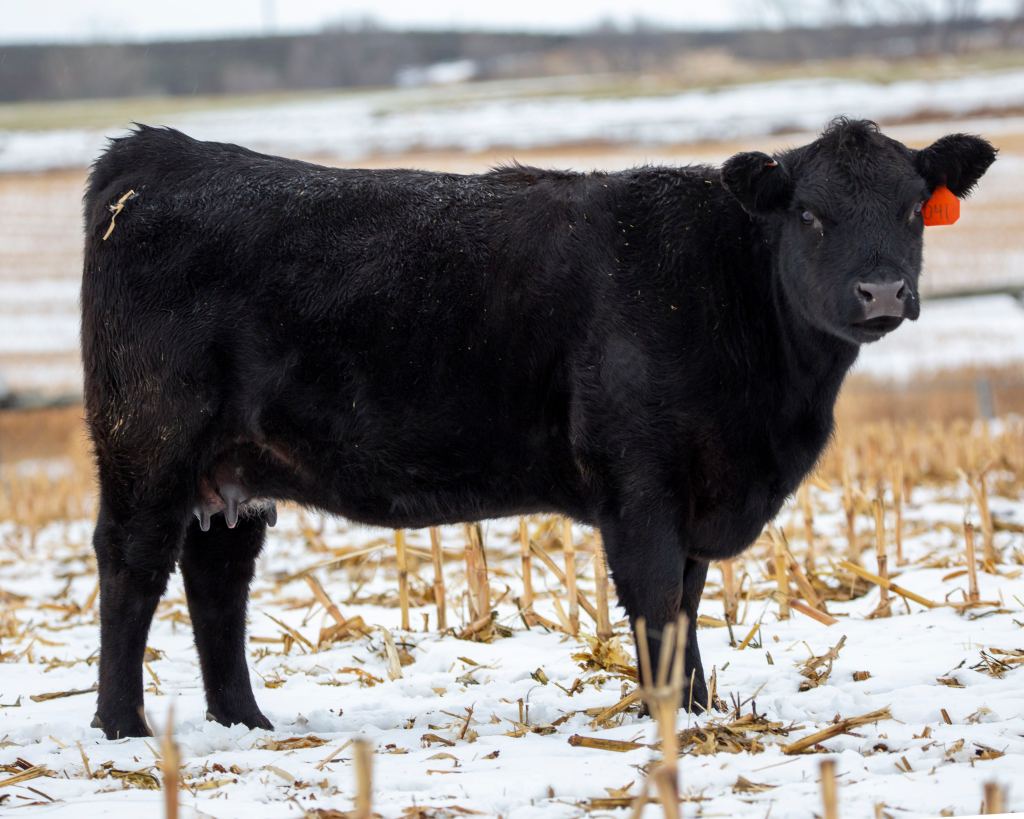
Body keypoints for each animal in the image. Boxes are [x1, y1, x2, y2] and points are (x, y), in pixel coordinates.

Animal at [81, 118, 995, 739]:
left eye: (914, 209)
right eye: (809, 214)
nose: (882, 292)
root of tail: (159, 152)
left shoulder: (697, 492)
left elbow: (688, 605)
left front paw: (699, 712)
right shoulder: (641, 487)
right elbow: (657, 605)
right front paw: (674, 719)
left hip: (232, 467)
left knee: (218, 579)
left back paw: (244, 720)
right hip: (147, 445)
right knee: (133, 567)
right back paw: (123, 726)